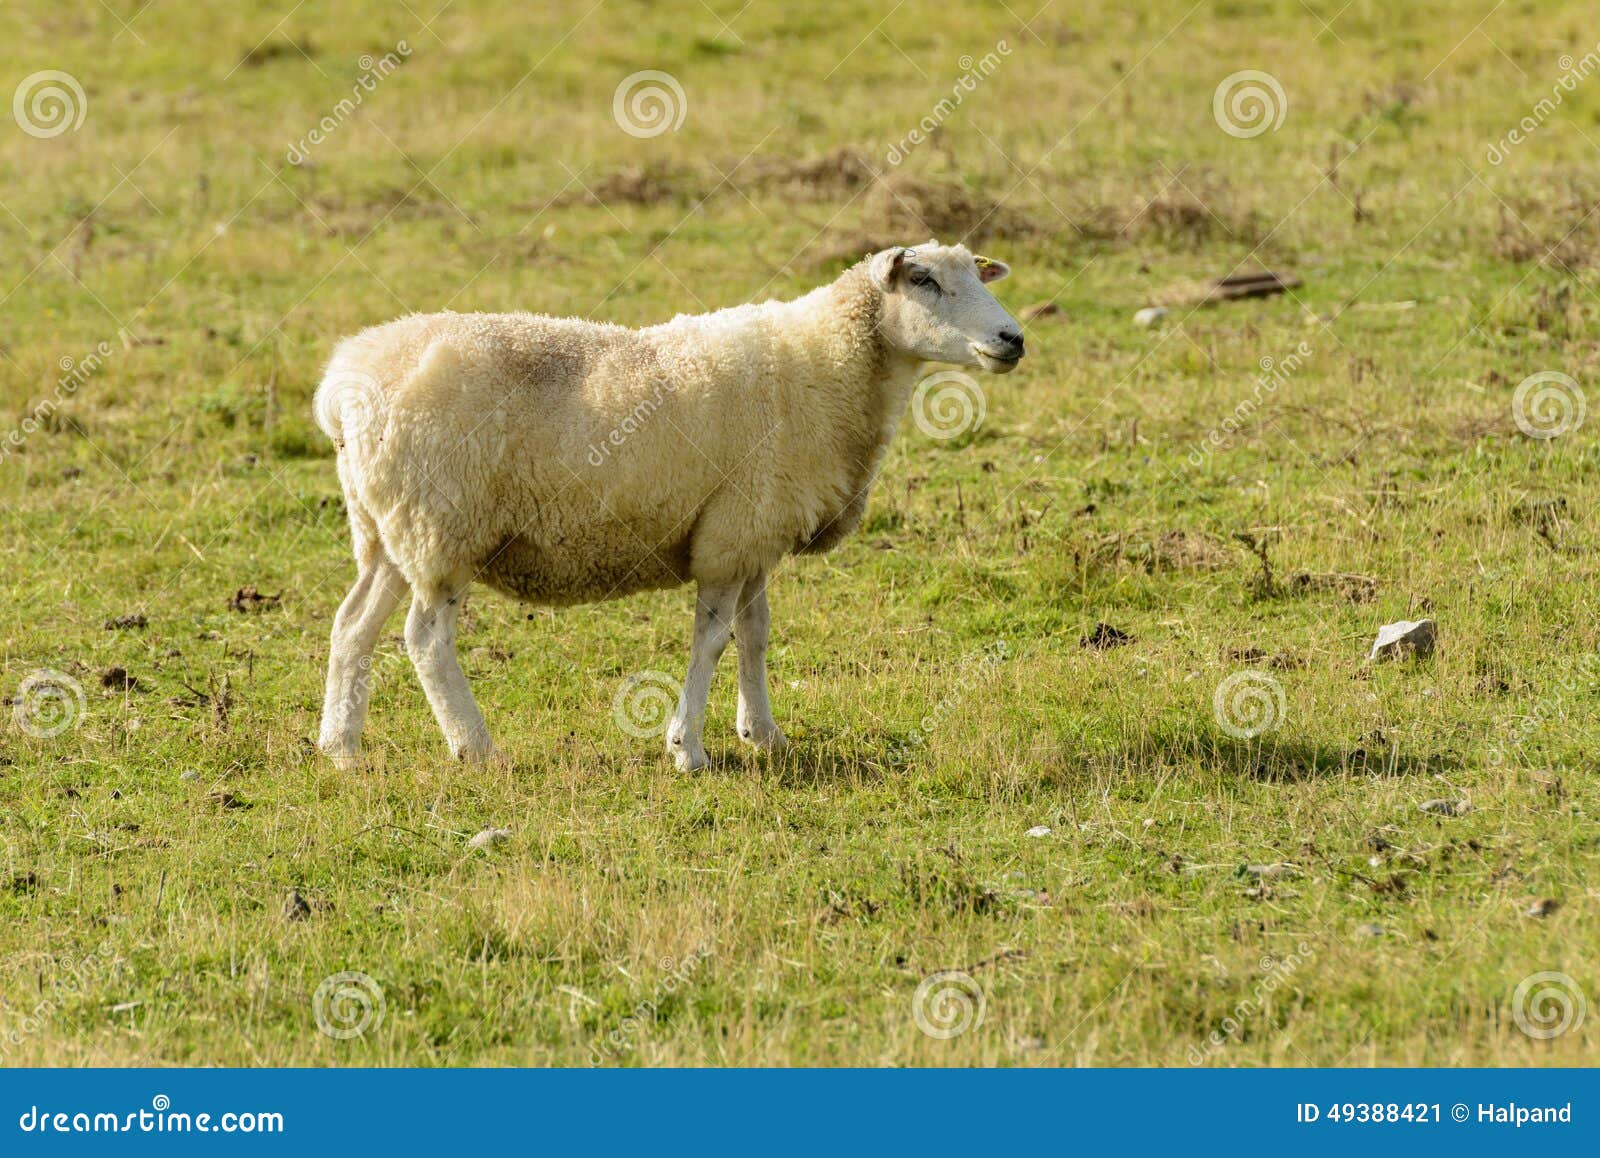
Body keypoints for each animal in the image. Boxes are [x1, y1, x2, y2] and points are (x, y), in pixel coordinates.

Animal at [314, 241, 1024, 769]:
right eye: (924, 279)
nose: (1013, 338)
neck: (827, 367)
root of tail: (343, 383)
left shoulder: (755, 532)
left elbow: (755, 634)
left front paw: (763, 734)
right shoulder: (730, 536)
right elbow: (711, 640)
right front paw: (688, 748)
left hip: (386, 527)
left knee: (352, 626)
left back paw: (341, 748)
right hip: (441, 523)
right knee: (425, 639)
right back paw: (475, 747)